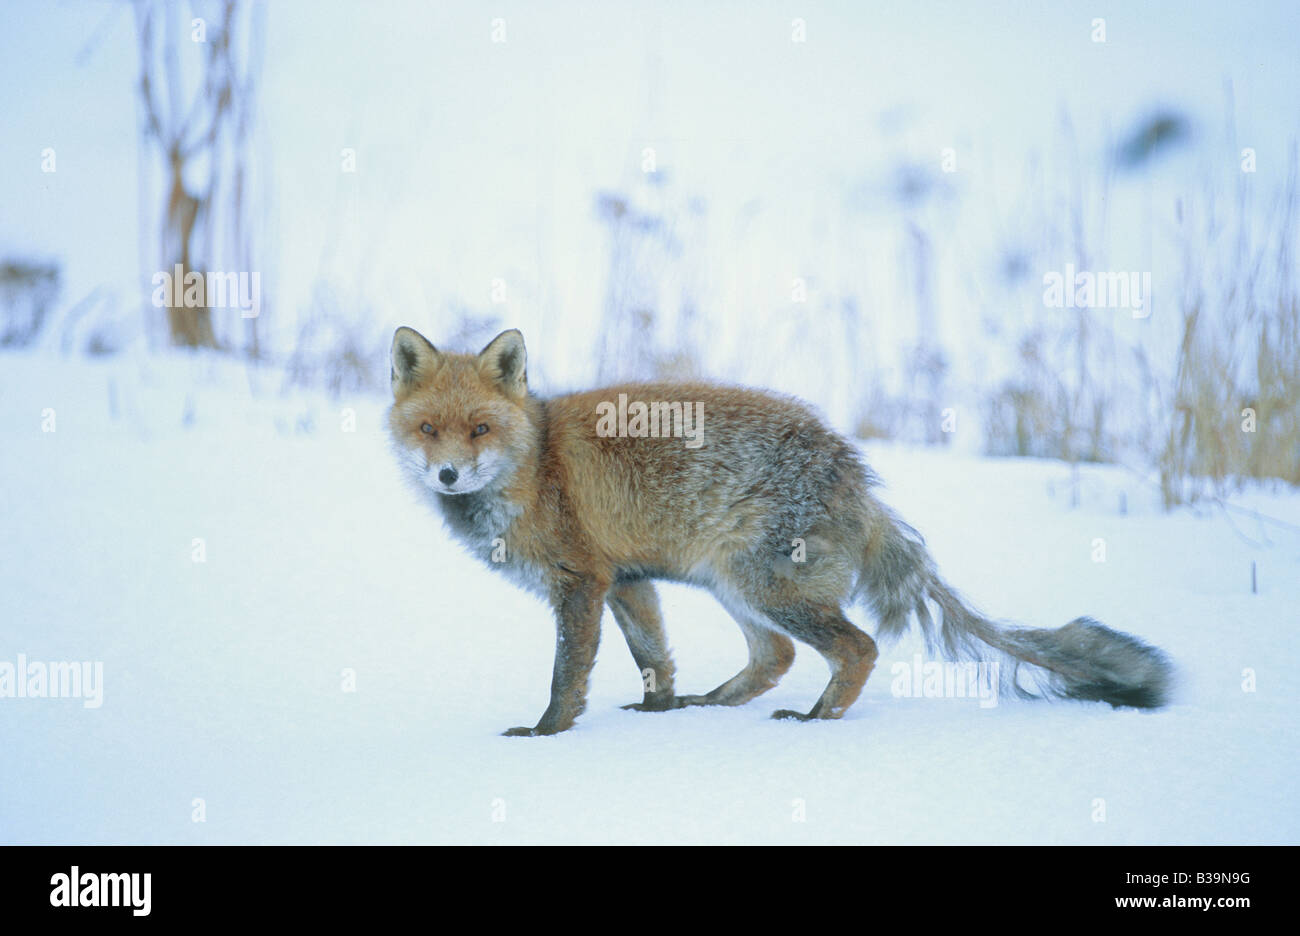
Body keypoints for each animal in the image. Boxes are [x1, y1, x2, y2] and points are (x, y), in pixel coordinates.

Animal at [387, 325, 1173, 736]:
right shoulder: (628, 580)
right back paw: (713, 706)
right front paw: (657, 715)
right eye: (428, 430)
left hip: (764, 586)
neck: (536, 465)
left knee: (855, 648)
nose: (448, 476)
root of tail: (855, 474)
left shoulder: (582, 582)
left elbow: (566, 674)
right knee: (775, 658)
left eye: (480, 430)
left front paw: (547, 733)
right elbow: (653, 659)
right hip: (735, 586)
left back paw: (819, 719)